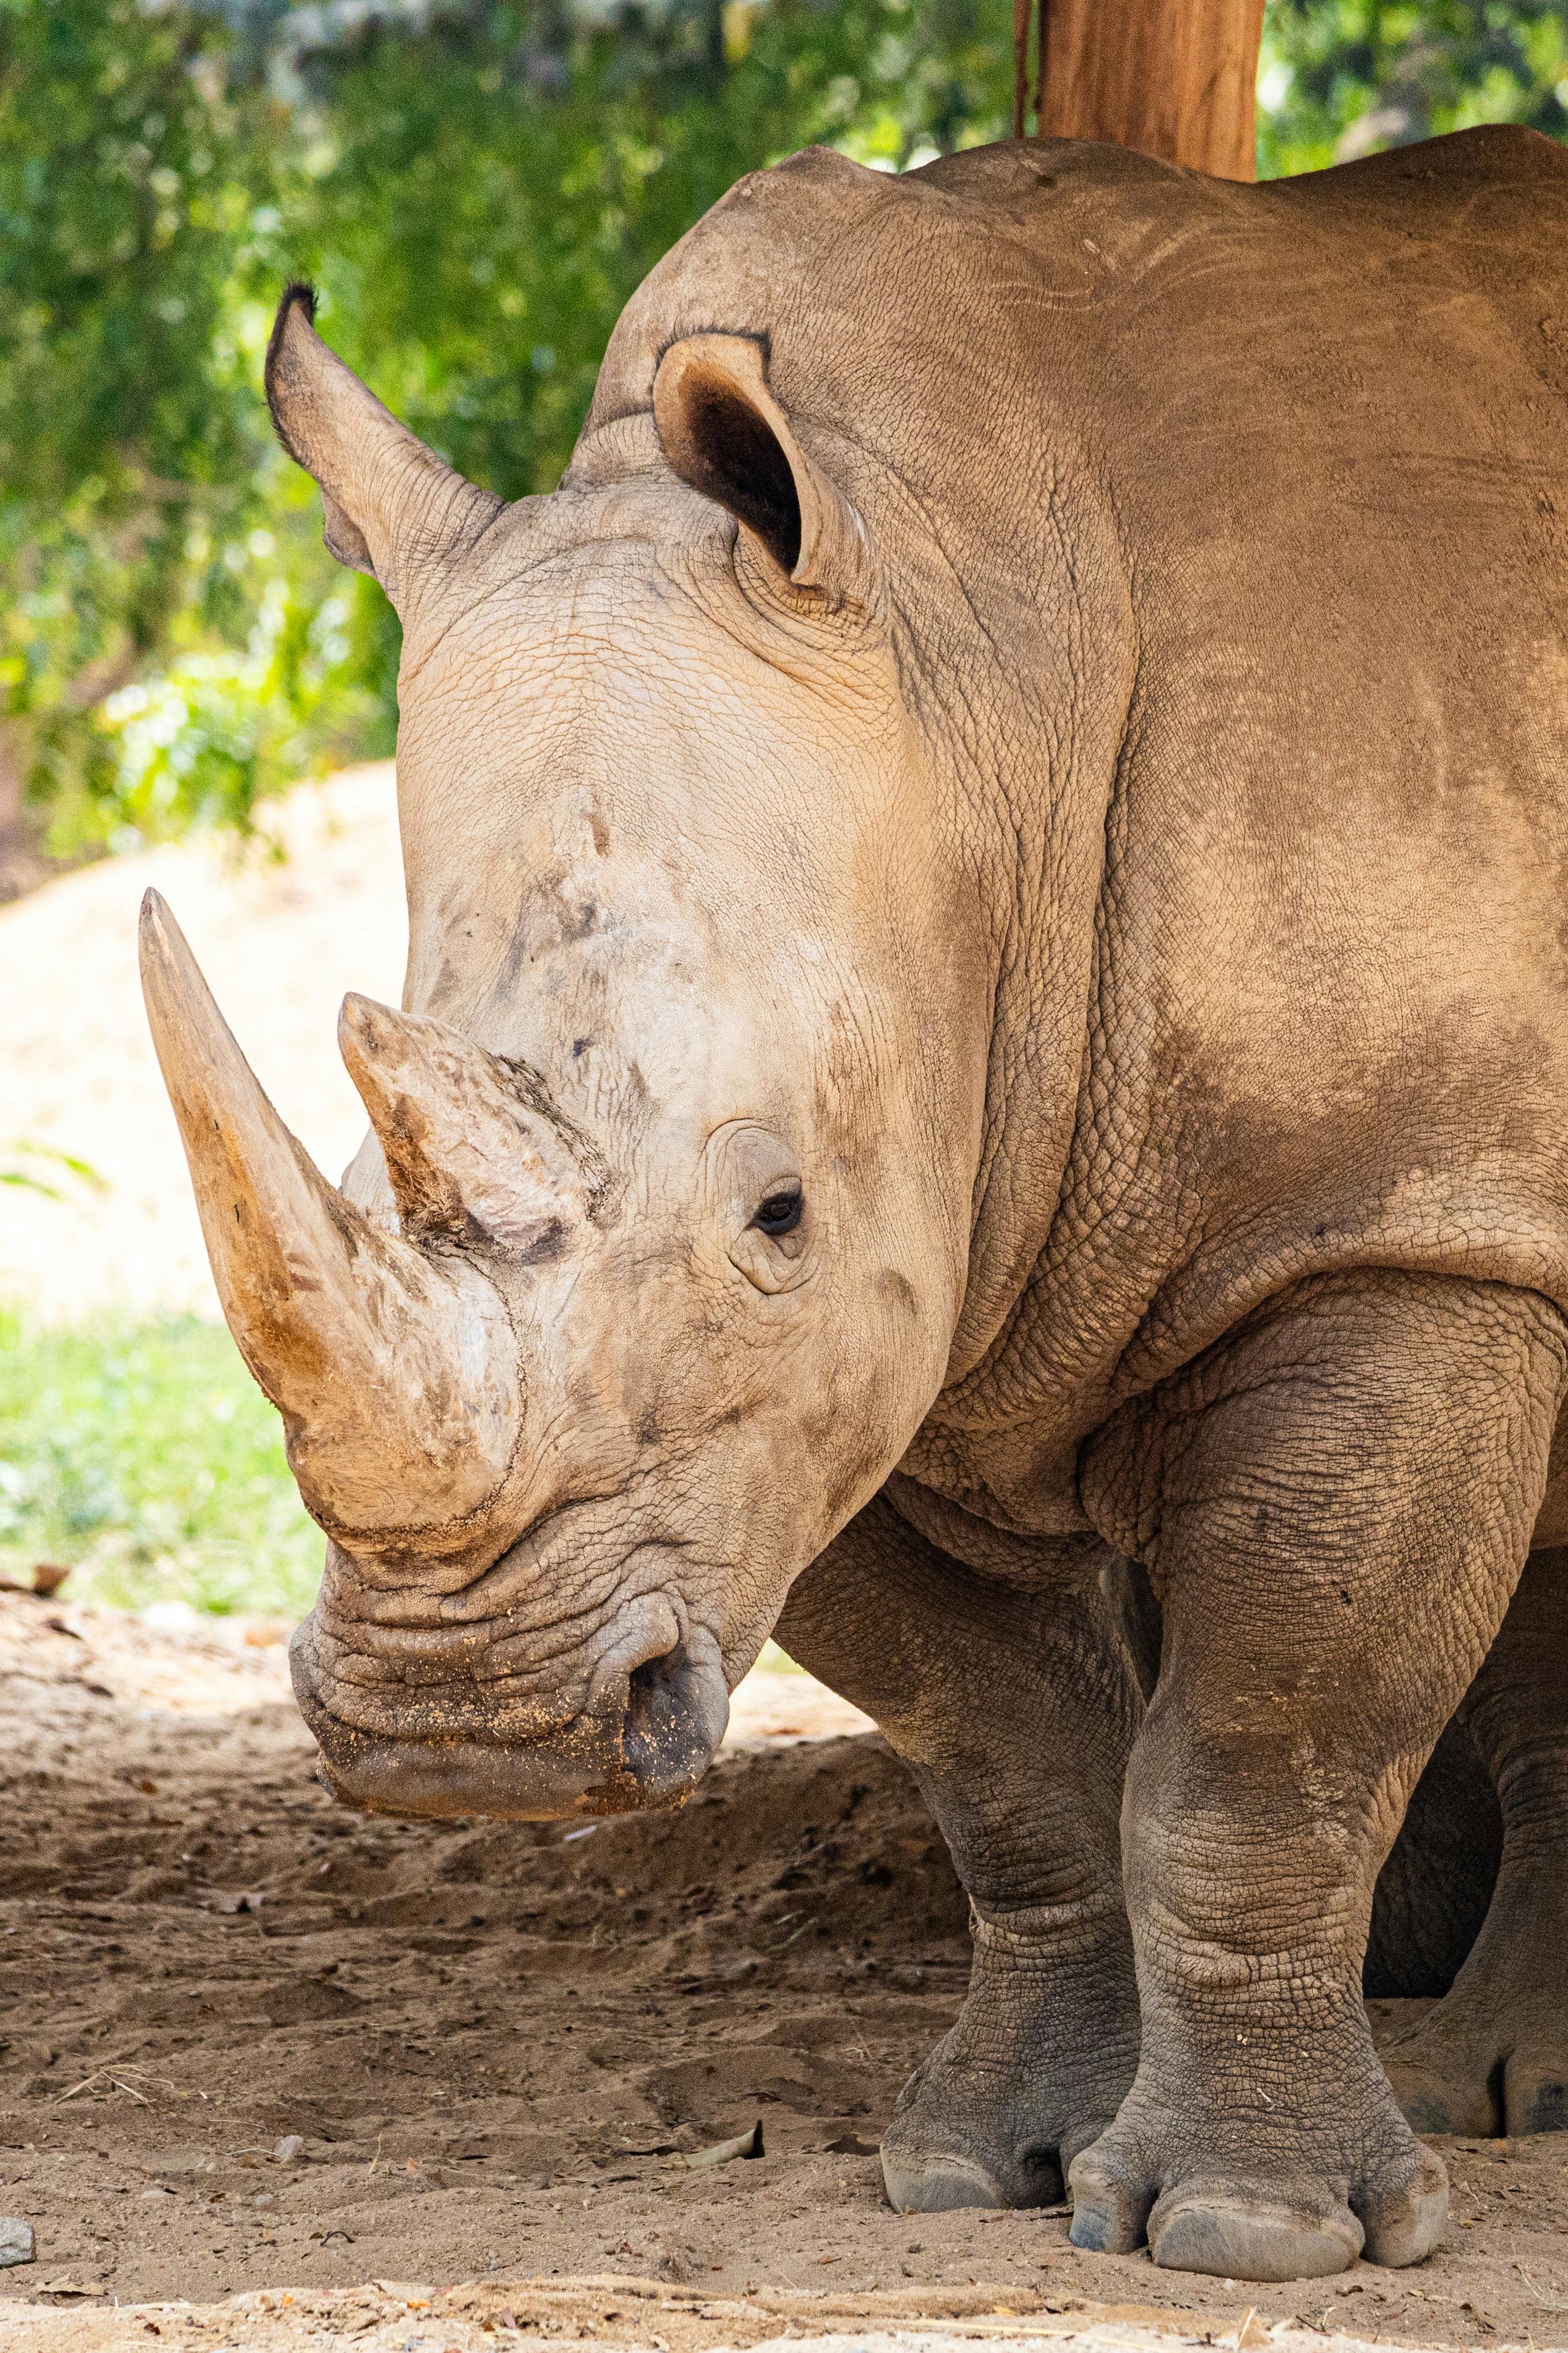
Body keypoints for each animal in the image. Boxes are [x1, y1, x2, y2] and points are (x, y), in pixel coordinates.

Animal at [141, 123, 1568, 2285]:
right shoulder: (852, 1349)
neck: (973, 666)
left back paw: (1514, 2101)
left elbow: (1257, 1754)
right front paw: (980, 2173)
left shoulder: (1382, 1223)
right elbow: (1015, 1762)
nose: (461, 1728)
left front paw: (1248, 2236)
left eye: (775, 1211)